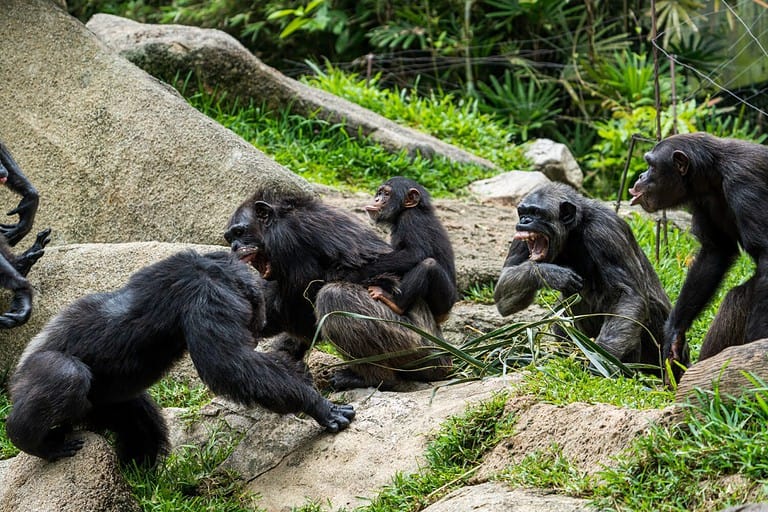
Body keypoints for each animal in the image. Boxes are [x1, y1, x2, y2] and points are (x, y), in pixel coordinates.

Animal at [6, 250, 355, 465]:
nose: (257, 327)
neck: (214, 269)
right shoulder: (210, 297)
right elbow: (231, 366)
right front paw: (318, 405)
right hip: (36, 377)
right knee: (66, 375)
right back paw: (33, 442)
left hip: (102, 406)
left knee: (140, 422)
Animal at [225, 188, 452, 390]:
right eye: (230, 238)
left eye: (239, 232)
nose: (234, 246)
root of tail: (444, 359)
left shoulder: (287, 240)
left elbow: (299, 306)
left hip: (412, 345)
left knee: (334, 296)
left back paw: (371, 379)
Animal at [351, 177, 458, 323]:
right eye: (379, 192)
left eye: (387, 194)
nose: (377, 199)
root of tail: (446, 315)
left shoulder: (411, 219)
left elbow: (415, 254)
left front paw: (356, 273)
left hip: (445, 300)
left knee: (429, 265)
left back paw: (394, 302)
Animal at [494, 182, 670, 370]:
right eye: (523, 212)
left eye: (536, 213)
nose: (525, 221)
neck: (573, 230)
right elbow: (503, 288)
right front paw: (553, 274)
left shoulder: (605, 231)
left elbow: (628, 296)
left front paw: (603, 360)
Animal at [629, 132, 768, 381]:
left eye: (651, 165)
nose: (641, 175)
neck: (715, 174)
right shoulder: (702, 200)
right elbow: (714, 252)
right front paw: (674, 335)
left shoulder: (745, 184)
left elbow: (766, 253)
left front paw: (755, 348)